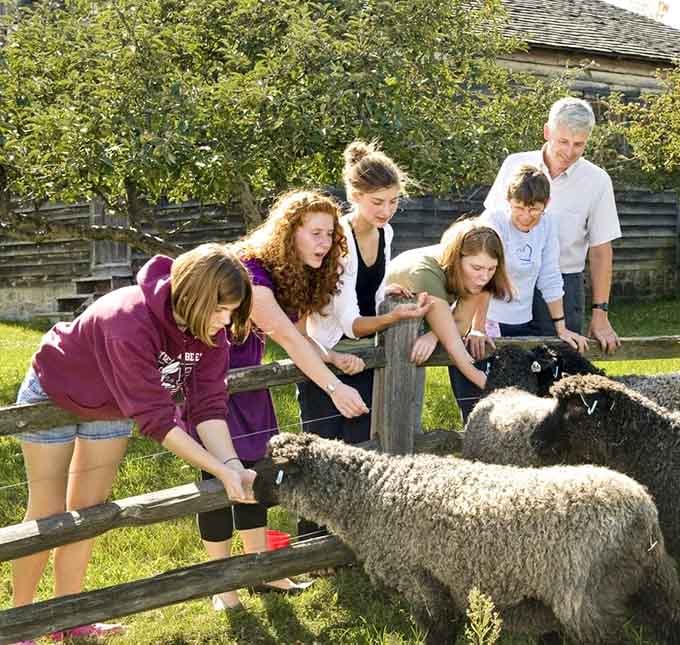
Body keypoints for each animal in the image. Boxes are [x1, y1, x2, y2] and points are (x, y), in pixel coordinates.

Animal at [254, 432, 680, 645]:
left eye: (271, 468)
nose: (248, 491)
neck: (371, 493)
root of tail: (641, 507)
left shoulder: (421, 579)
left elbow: (438, 630)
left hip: (587, 599)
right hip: (650, 581)